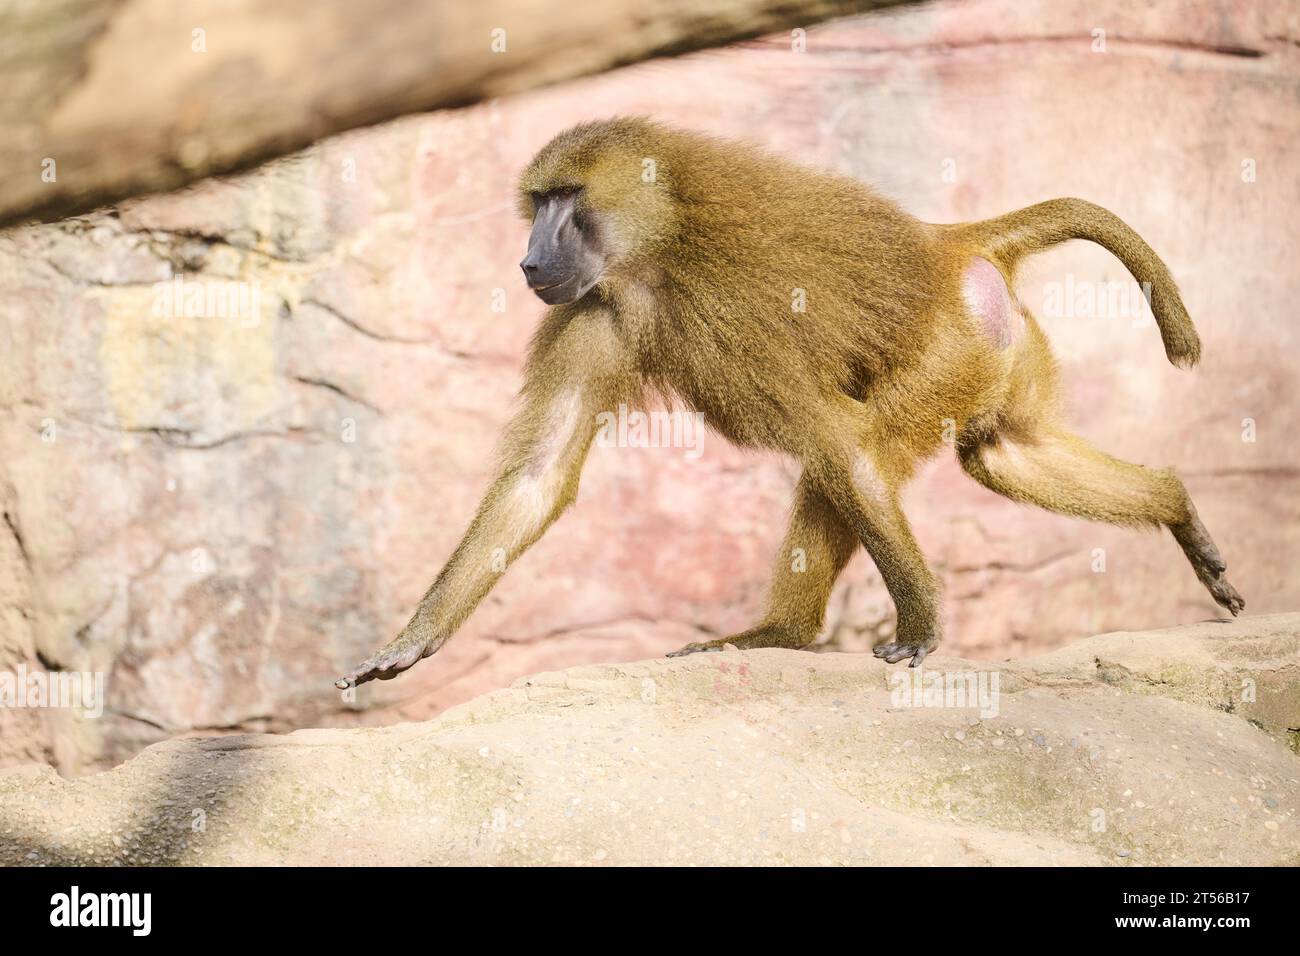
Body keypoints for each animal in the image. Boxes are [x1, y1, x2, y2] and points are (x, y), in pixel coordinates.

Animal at [336, 117, 1243, 688]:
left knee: (850, 457)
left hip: (942, 351)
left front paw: (921, 627)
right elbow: (539, 474)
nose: (528, 262)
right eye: (540, 205)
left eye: (567, 202)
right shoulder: (591, 311)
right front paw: (411, 641)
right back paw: (1179, 509)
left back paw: (784, 634)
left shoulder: (725, 309)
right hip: (993, 354)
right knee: (1000, 454)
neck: (659, 244)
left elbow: (835, 443)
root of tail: (946, 243)